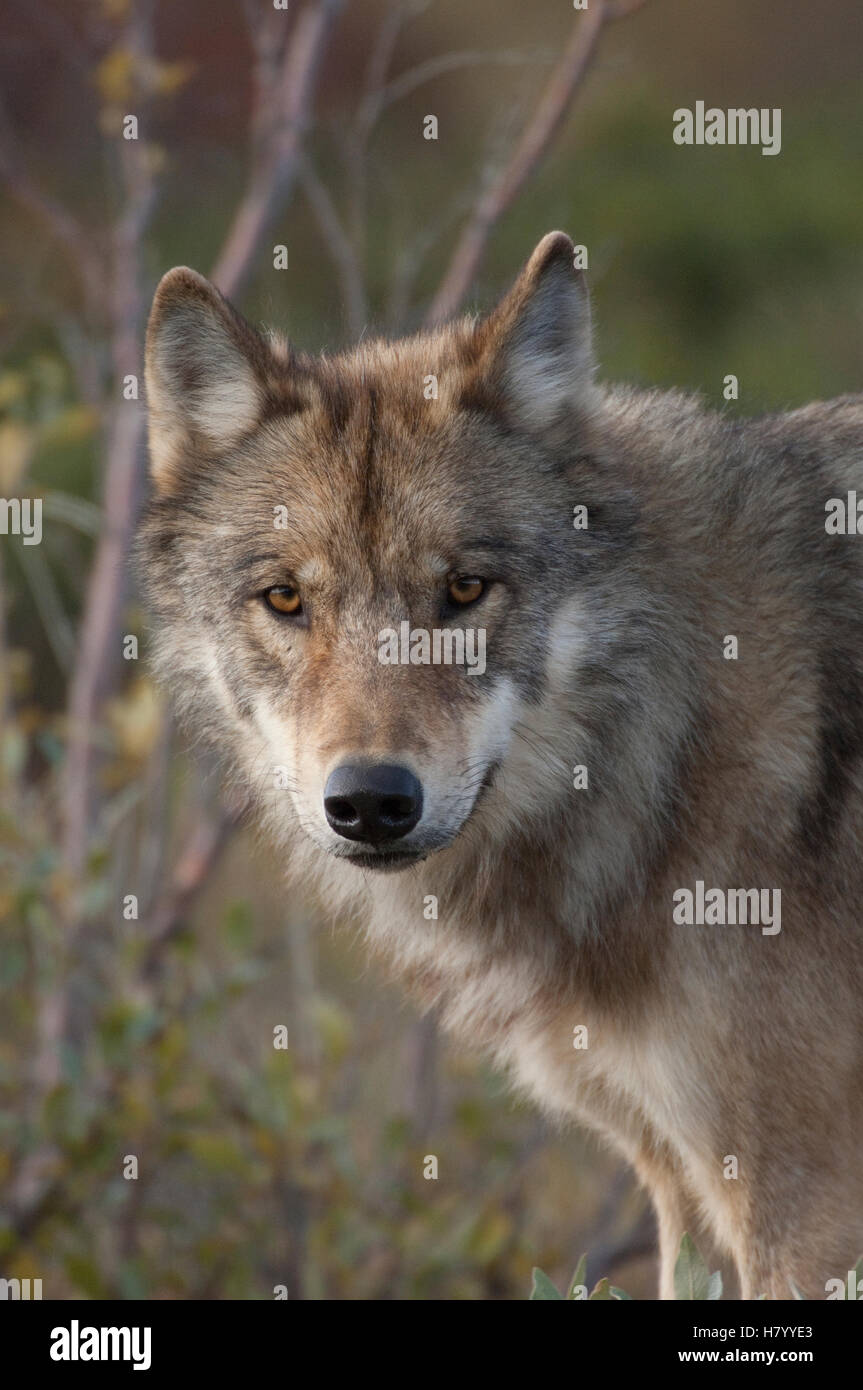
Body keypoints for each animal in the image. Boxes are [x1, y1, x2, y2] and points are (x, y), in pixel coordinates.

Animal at [139, 231, 863, 1300]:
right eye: (285, 600)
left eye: (465, 589)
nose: (370, 802)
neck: (670, 744)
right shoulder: (678, 1180)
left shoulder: (803, 1200)